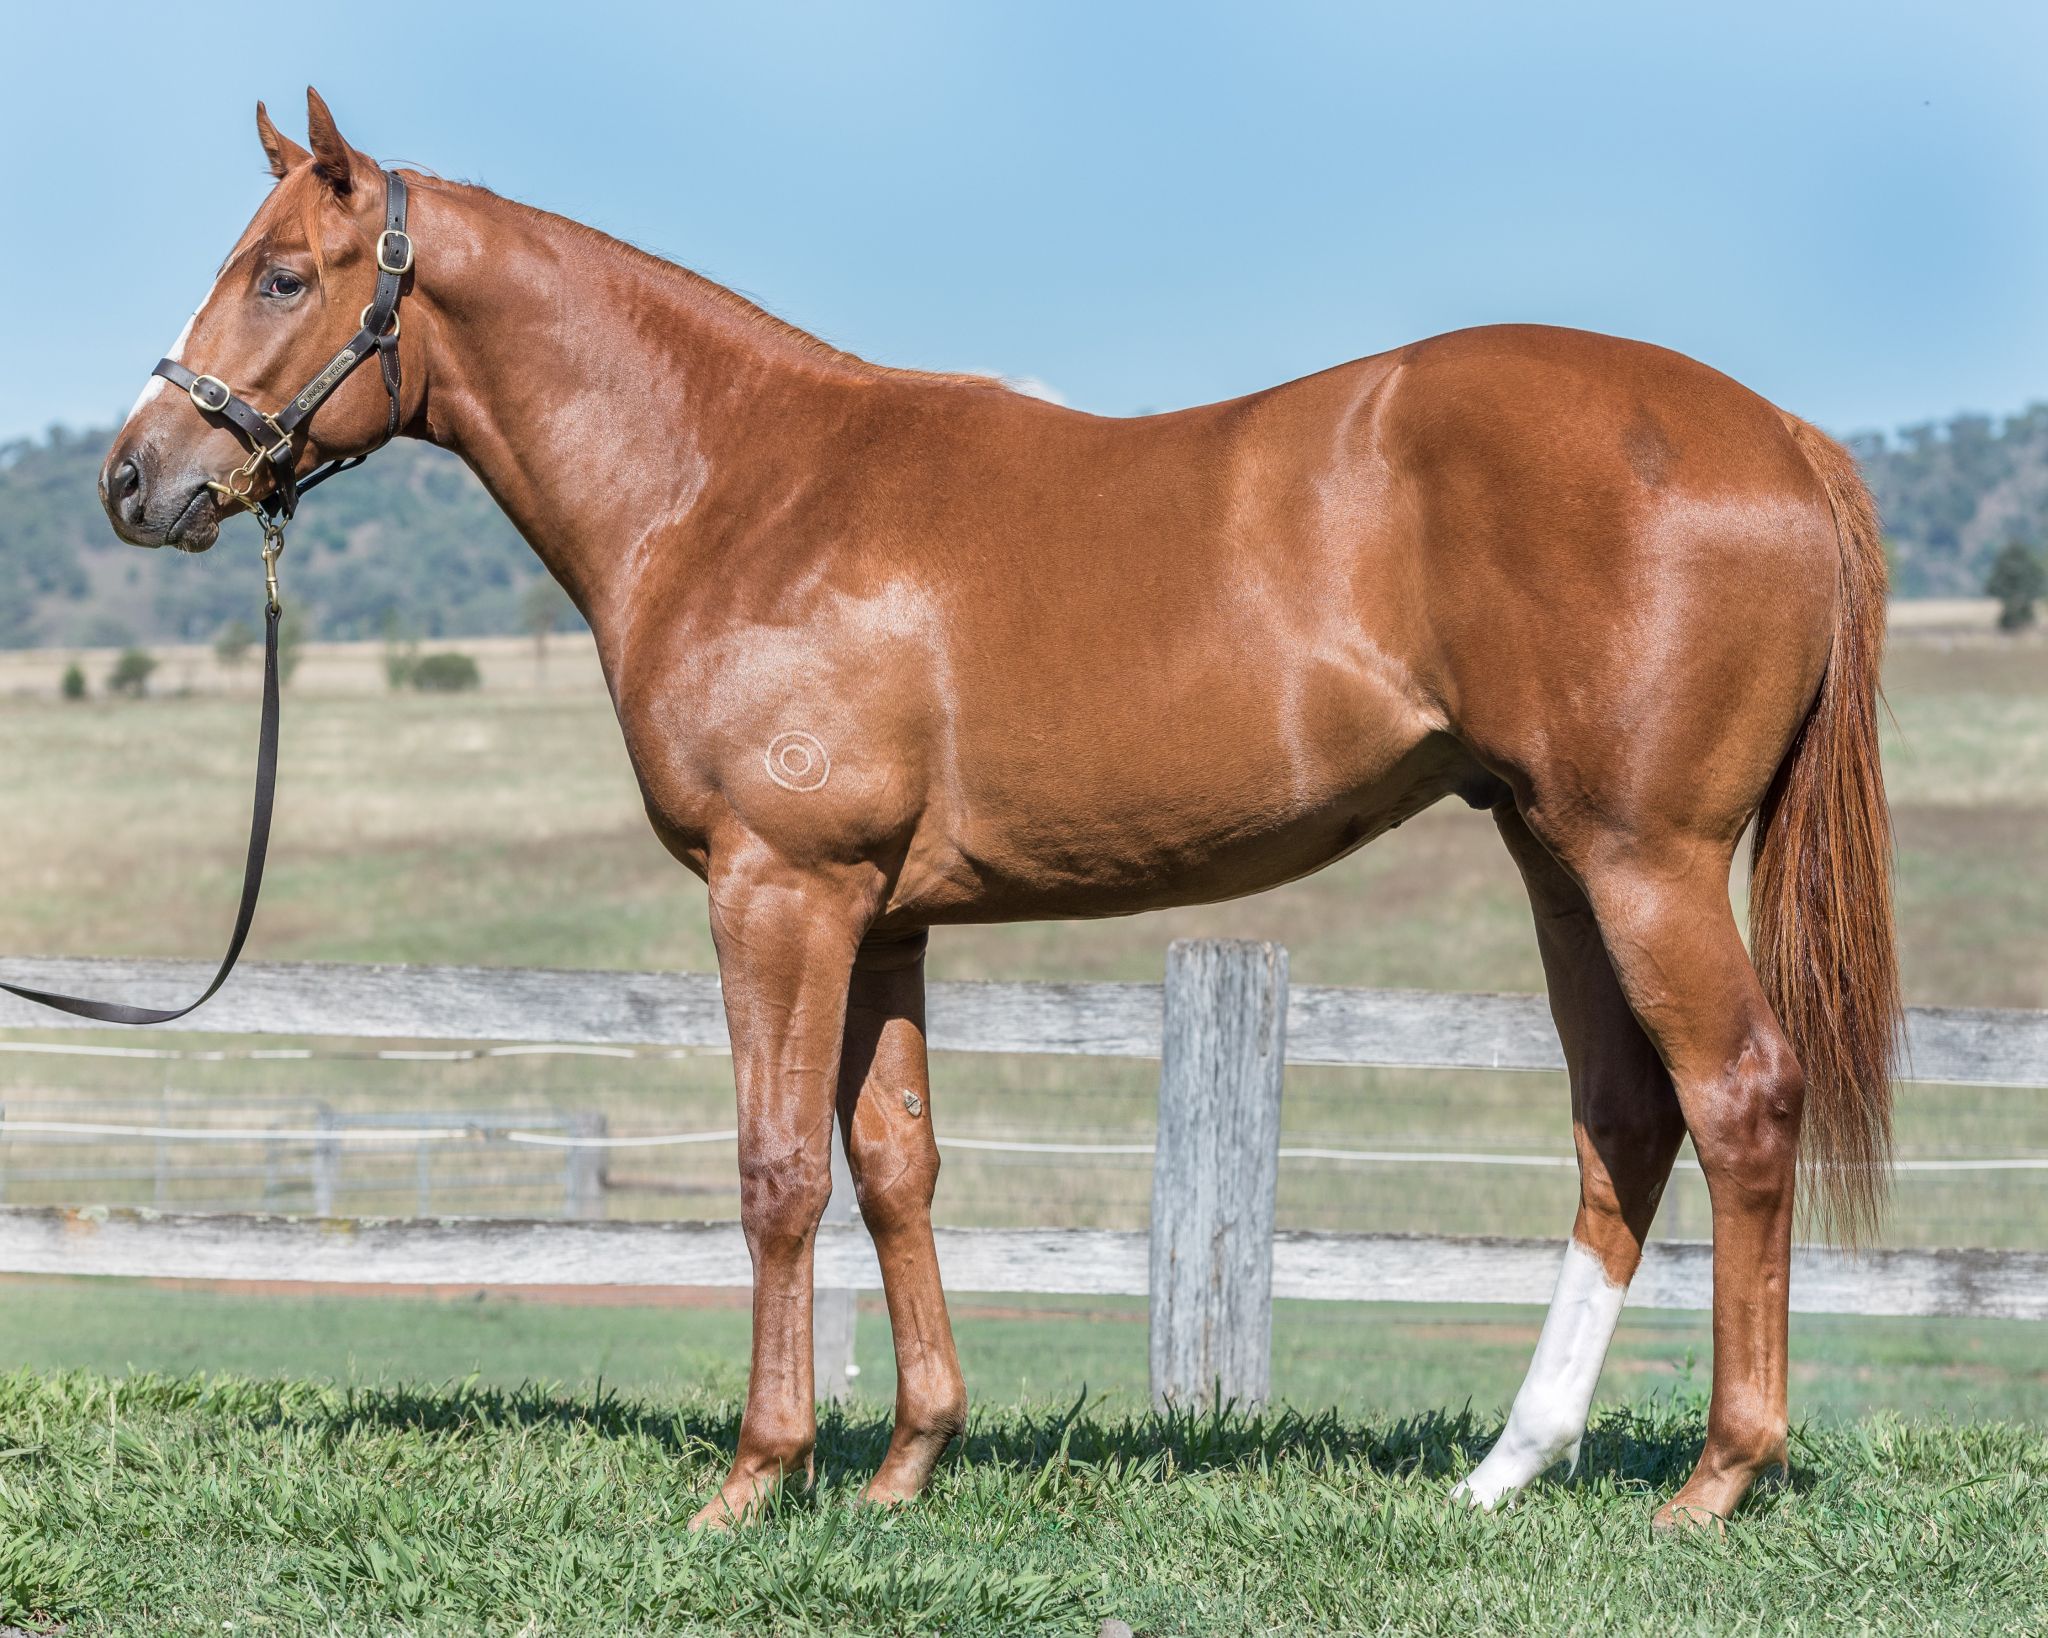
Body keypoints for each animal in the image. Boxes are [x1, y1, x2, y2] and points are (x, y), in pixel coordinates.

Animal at [100, 90, 1899, 1530]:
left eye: (282, 272)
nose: (137, 475)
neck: (739, 486)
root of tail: (1780, 434)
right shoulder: (883, 915)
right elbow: (895, 1161)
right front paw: (907, 1460)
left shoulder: (780, 889)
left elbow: (776, 1168)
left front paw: (755, 1475)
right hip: (1553, 853)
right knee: (1626, 1121)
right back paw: (1509, 1465)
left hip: (1643, 860)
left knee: (1739, 1097)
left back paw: (1714, 1477)